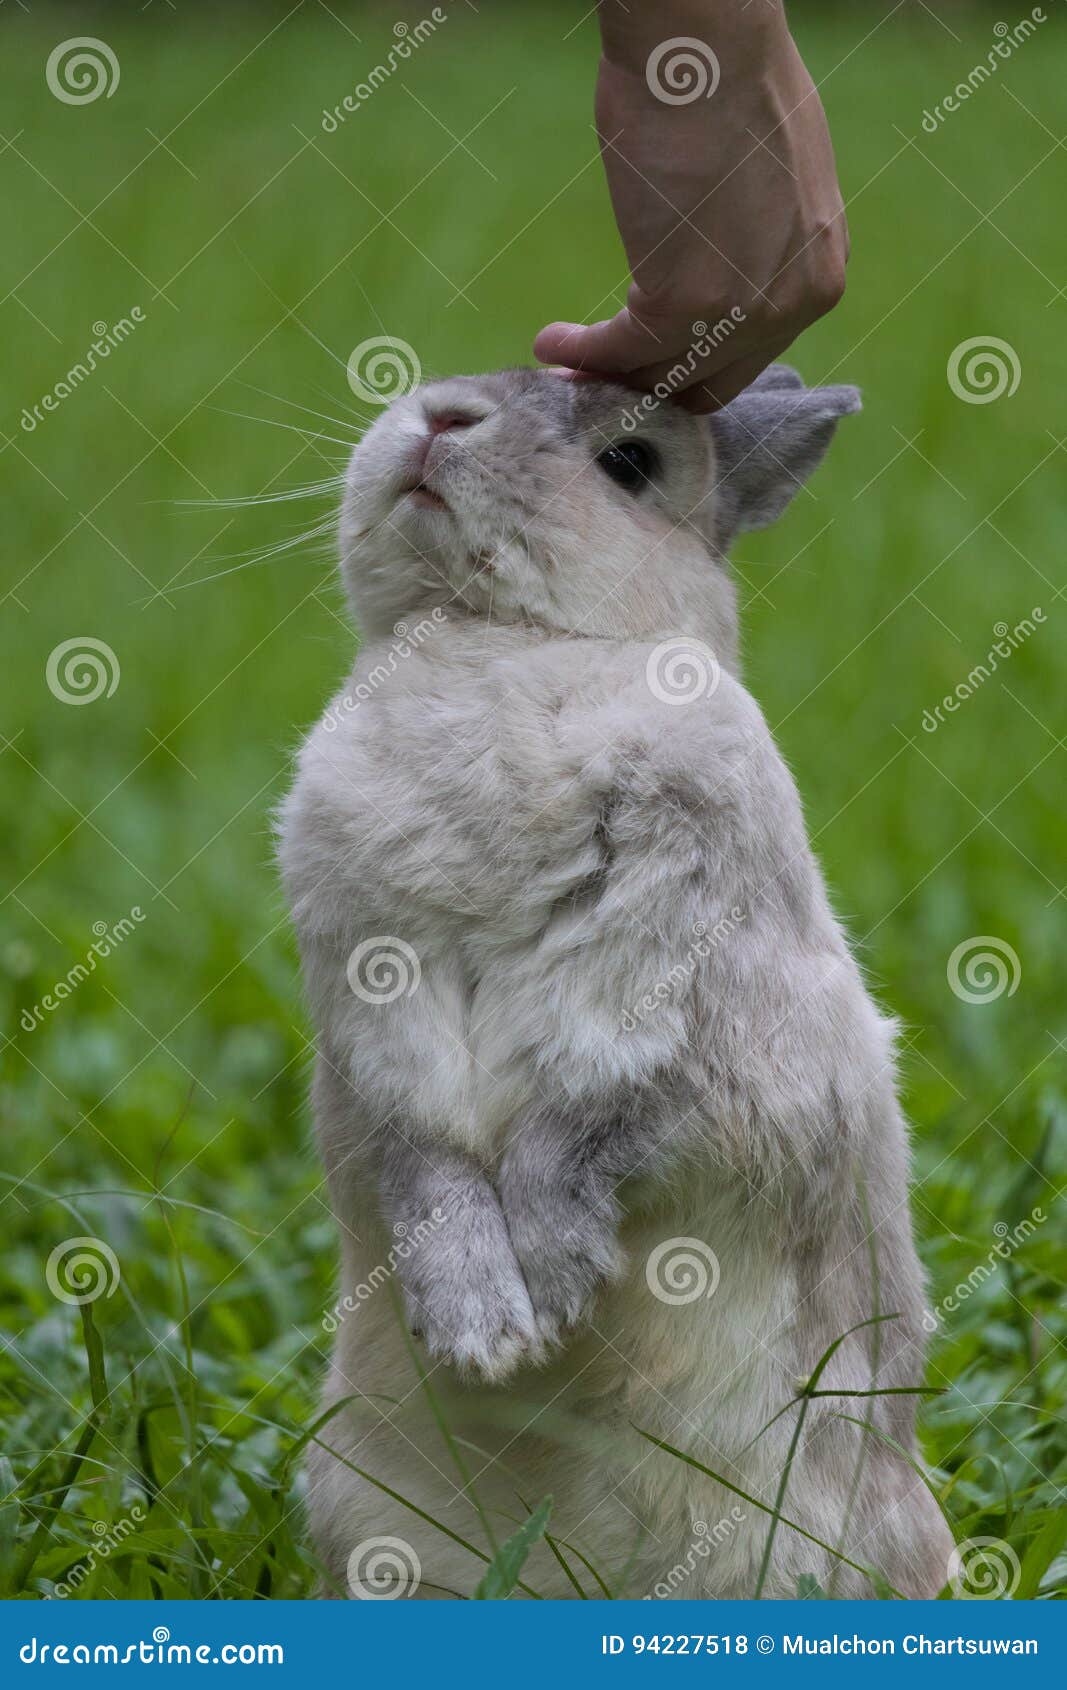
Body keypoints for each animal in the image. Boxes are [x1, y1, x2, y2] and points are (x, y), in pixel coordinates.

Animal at [276, 363, 953, 1601]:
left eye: (628, 464)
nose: (440, 417)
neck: (499, 639)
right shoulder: (375, 1032)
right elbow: (428, 1167)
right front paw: (483, 1330)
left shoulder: (684, 1025)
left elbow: (586, 1129)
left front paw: (545, 1291)